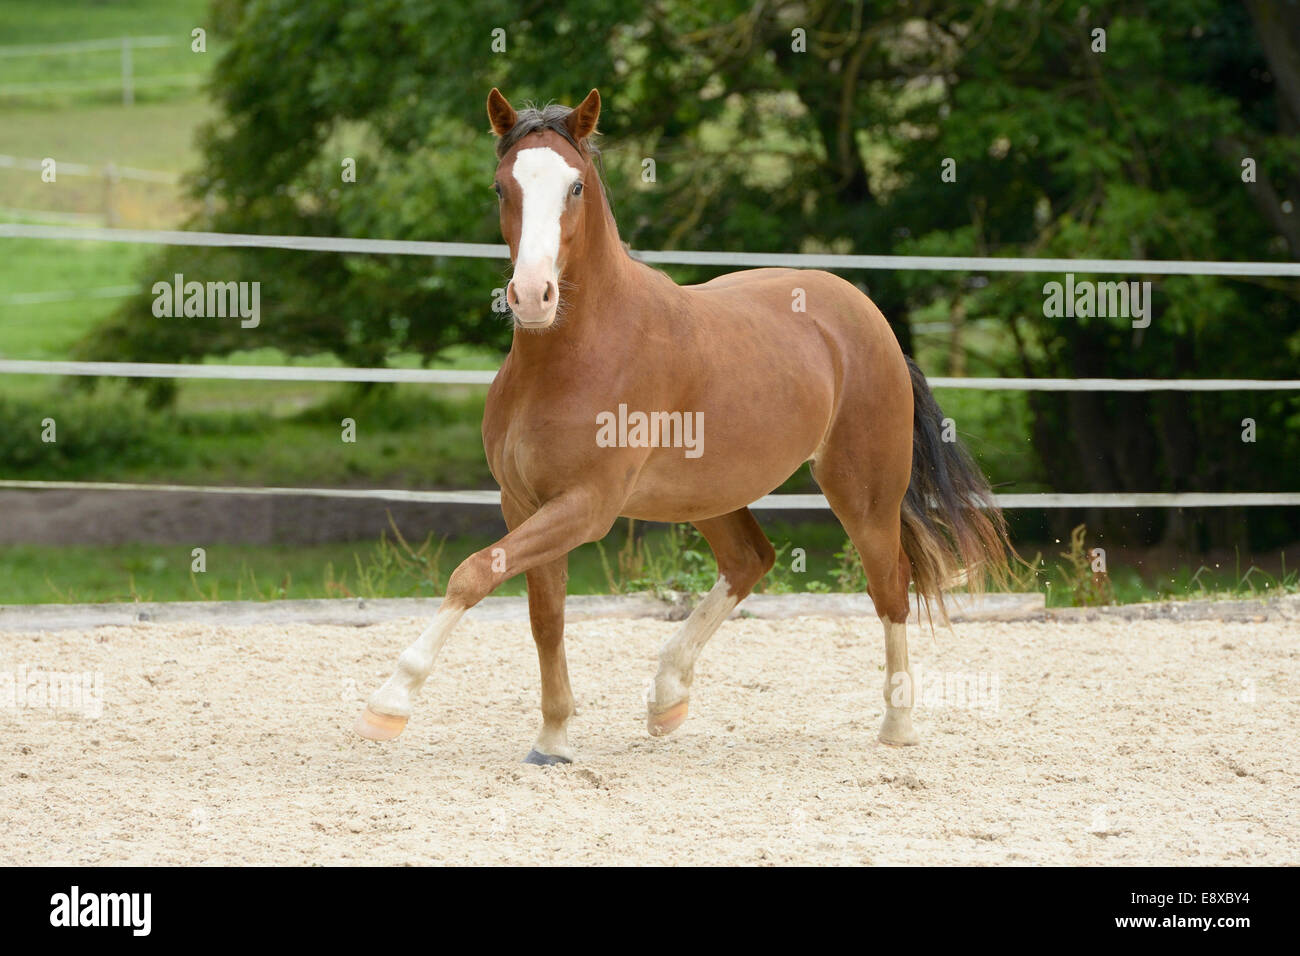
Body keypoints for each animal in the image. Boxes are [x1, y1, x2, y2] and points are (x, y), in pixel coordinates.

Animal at [354, 88, 1012, 763]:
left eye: (575, 186)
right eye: (500, 187)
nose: (532, 296)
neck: (571, 356)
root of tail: (870, 320)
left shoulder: (585, 506)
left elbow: (473, 573)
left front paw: (389, 703)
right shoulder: (523, 501)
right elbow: (543, 614)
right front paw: (553, 738)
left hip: (863, 491)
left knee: (890, 586)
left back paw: (898, 726)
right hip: (710, 492)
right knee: (751, 560)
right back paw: (667, 696)